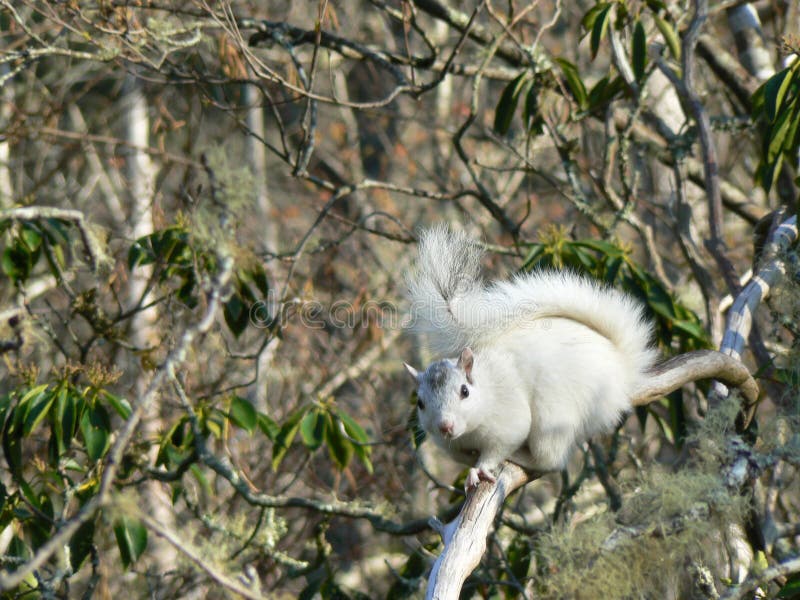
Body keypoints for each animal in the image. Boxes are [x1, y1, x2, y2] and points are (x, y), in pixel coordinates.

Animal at [404, 225, 659, 491]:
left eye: (464, 391)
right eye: (420, 403)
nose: (445, 426)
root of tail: (621, 368)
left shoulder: (509, 421)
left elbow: (499, 447)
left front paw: (480, 468)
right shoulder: (450, 446)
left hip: (553, 419)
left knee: (550, 460)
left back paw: (523, 456)